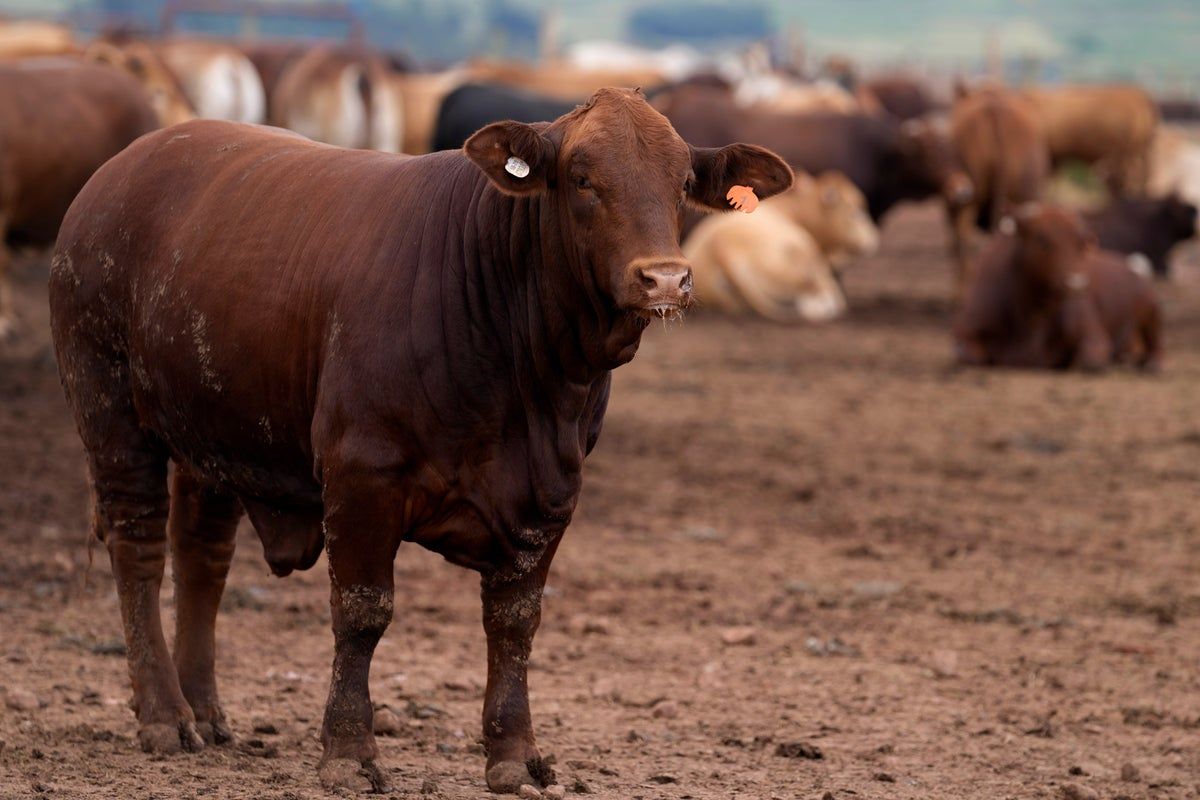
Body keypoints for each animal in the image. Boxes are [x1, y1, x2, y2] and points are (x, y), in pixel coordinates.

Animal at [49, 87, 792, 794]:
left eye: (681, 181)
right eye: (583, 178)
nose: (665, 278)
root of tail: (121, 168)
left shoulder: (550, 496)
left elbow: (515, 624)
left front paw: (515, 756)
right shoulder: (361, 477)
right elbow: (362, 613)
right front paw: (350, 754)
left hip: (214, 434)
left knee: (202, 554)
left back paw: (203, 709)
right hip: (109, 409)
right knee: (138, 547)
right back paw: (163, 714)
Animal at [954, 204, 1161, 371]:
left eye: (1081, 243)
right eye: (1041, 238)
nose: (1075, 283)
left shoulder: (1093, 335)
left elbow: (1089, 362)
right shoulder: (965, 333)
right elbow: (973, 356)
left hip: (1151, 311)